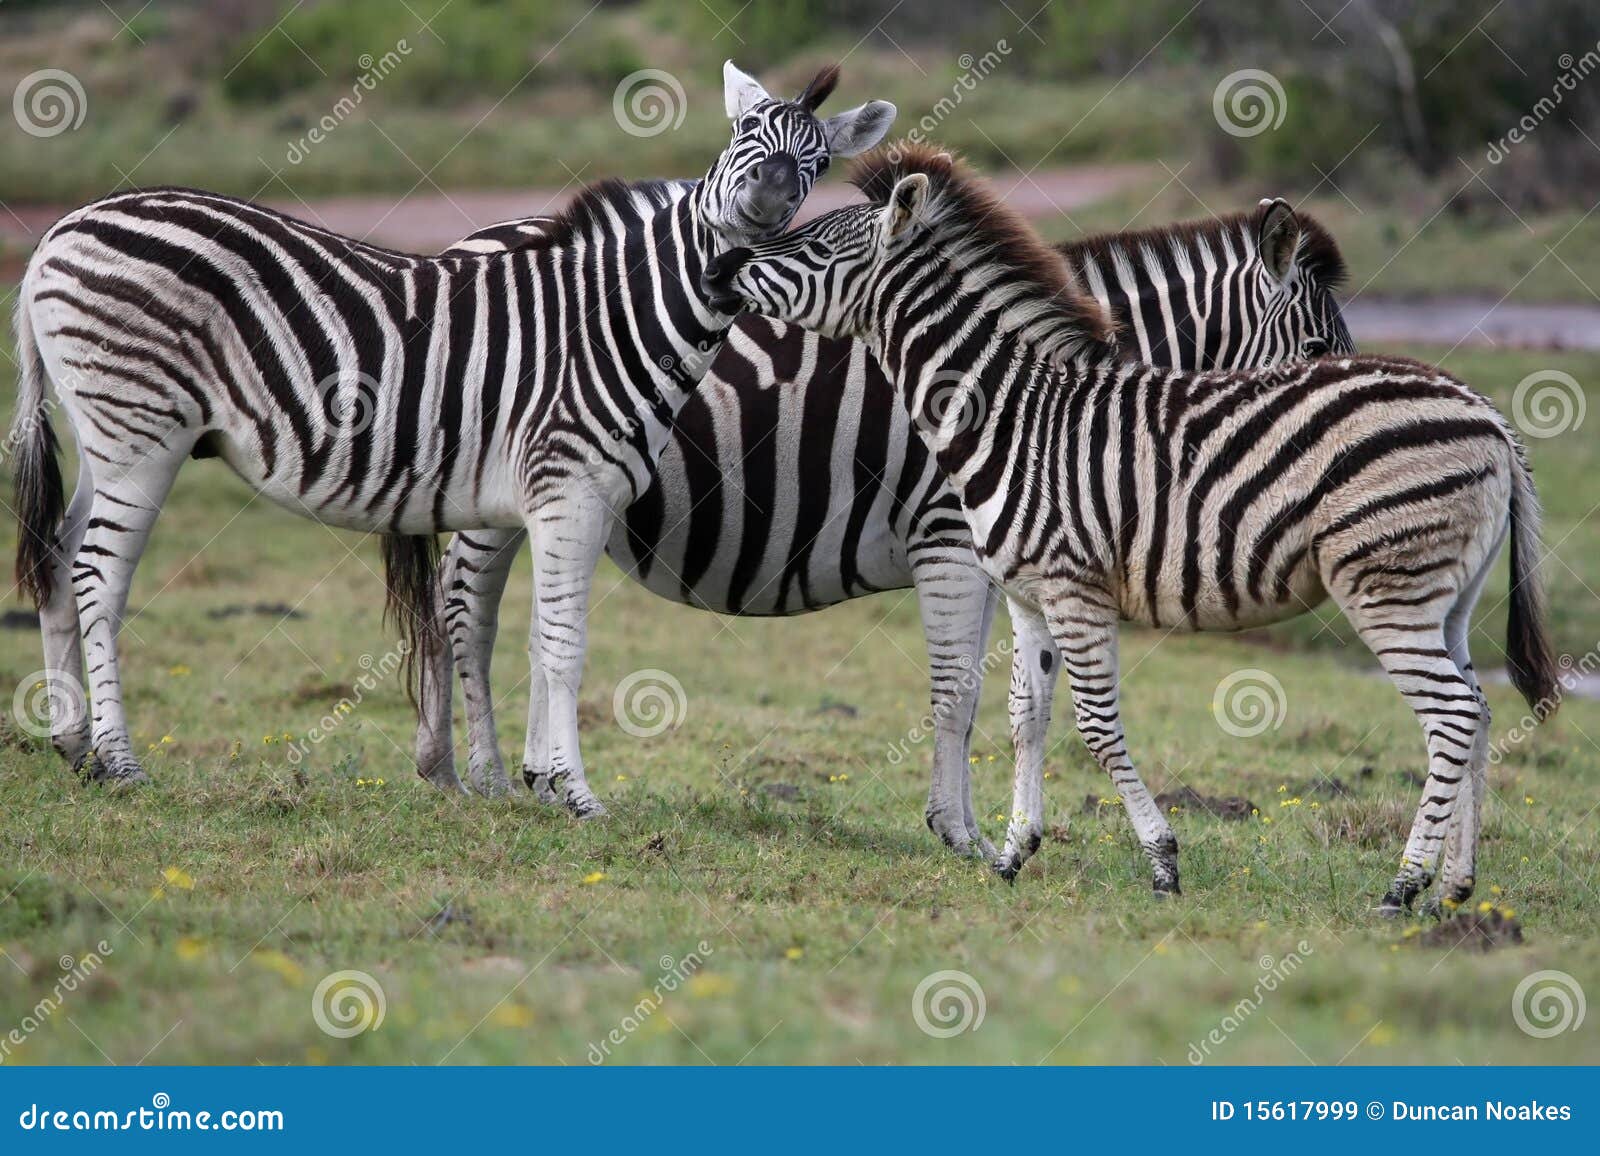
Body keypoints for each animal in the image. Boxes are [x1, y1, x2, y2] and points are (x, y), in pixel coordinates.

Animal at [8, 62, 895, 810]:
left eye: (816, 162)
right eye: (745, 135)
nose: (765, 199)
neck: (616, 318)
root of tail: (61, 229)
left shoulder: (565, 499)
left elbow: (537, 636)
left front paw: (542, 784)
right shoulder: (569, 491)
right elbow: (565, 645)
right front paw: (579, 796)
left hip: (105, 433)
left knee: (58, 553)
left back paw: (75, 745)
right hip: (141, 431)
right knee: (99, 575)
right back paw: (122, 762)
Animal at [415, 196, 1354, 869]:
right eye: (1316, 348)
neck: (1036, 399)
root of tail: (476, 237)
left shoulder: (1017, 554)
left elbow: (1023, 700)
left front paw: (998, 834)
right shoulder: (952, 542)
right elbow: (958, 694)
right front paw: (960, 835)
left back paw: (505, 776)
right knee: (466, 616)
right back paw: (478, 777)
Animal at [701, 144, 1559, 911]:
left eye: (813, 245)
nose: (719, 271)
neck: (1011, 412)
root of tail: (1487, 414)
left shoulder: (1071, 587)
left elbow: (1095, 723)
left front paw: (1161, 860)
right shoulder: (1028, 594)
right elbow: (1025, 717)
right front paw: (1013, 853)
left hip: (1387, 586)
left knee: (1451, 715)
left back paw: (1403, 887)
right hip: (1445, 597)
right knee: (1478, 711)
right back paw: (1454, 886)